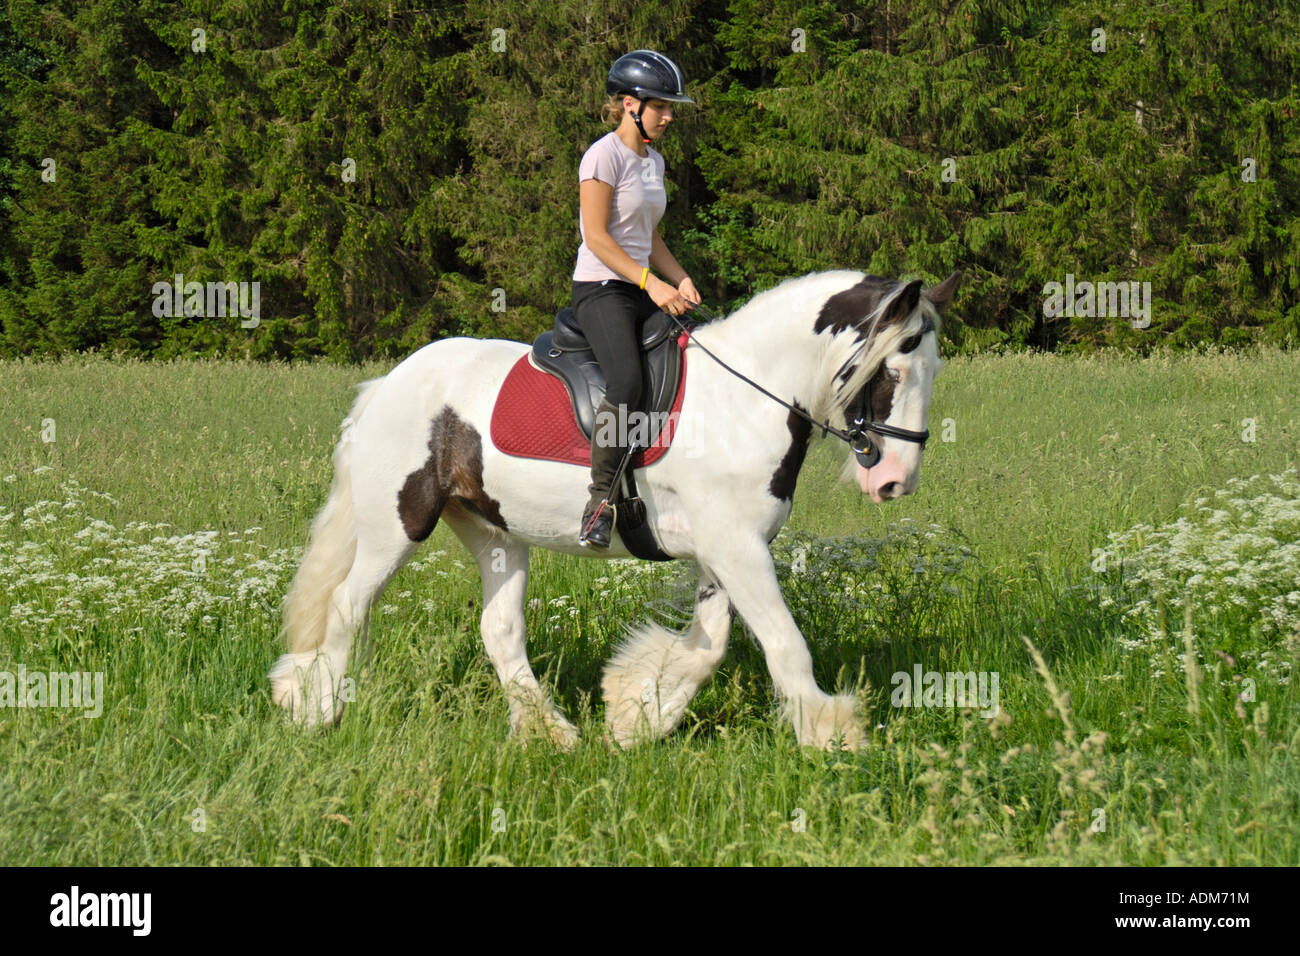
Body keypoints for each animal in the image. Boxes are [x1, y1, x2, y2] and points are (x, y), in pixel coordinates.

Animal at [269, 269, 961, 750]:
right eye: (893, 369)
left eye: (933, 367)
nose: (896, 482)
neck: (743, 398)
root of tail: (388, 383)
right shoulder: (736, 547)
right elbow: (784, 644)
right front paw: (830, 734)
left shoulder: (725, 550)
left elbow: (709, 645)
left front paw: (636, 716)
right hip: (397, 525)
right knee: (346, 605)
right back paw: (317, 709)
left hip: (496, 532)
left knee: (500, 631)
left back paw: (550, 734)